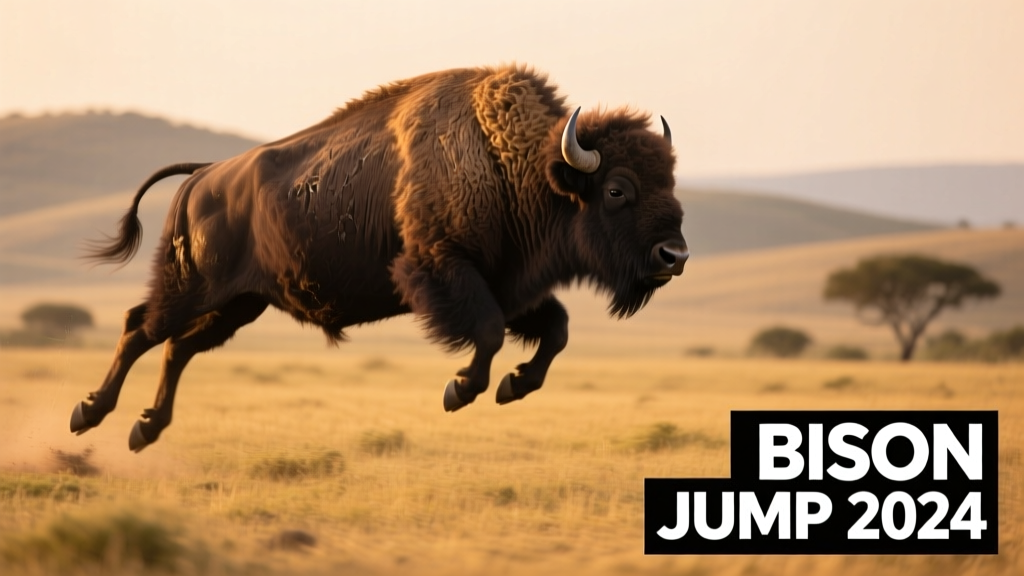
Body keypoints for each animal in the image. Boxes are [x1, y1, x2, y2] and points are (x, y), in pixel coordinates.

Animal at [71, 65, 688, 451]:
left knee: (177, 347)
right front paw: (460, 390)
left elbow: (555, 331)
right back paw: (89, 413)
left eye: (670, 180)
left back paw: (145, 429)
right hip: (193, 288)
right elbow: (488, 333)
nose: (675, 254)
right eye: (617, 189)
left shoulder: (513, 289)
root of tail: (202, 176)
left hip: (238, 305)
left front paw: (514, 385)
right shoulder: (445, 271)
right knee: (141, 329)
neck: (514, 166)